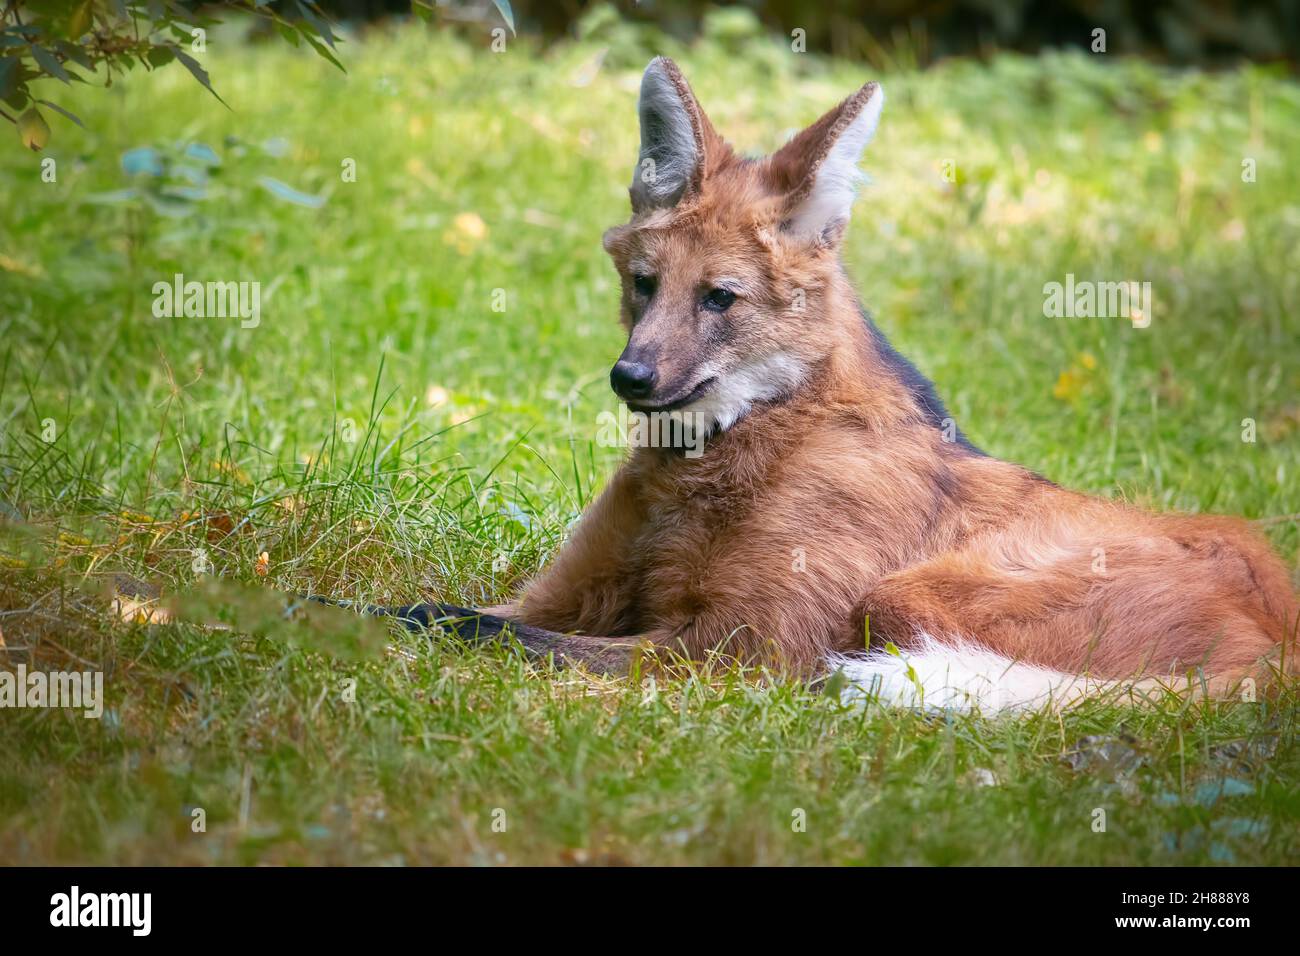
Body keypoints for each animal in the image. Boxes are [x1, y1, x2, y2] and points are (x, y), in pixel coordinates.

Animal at [373, 57, 1297, 711]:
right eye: (644, 284)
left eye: (720, 298)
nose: (630, 375)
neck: (722, 453)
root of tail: (1282, 629)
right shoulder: (564, 596)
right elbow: (448, 612)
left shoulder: (733, 652)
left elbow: (449, 624)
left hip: (906, 595)